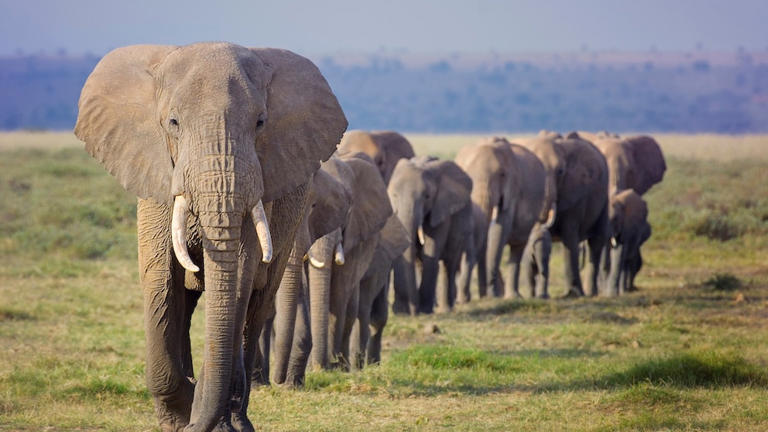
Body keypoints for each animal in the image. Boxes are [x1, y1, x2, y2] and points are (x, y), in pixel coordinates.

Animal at [74, 43, 347, 432]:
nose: (195, 424)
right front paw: (178, 417)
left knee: (256, 305)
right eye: (173, 123)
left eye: (260, 123)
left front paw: (201, 412)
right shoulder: (156, 175)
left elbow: (239, 277)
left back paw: (236, 418)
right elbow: (159, 278)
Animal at [306, 153, 393, 370]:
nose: (320, 366)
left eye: (348, 208)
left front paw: (329, 367)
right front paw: (315, 367)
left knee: (351, 307)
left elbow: (339, 293)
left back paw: (344, 365)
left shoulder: (356, 235)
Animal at [389, 156, 473, 315]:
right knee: (421, 263)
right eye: (394, 196)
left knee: (449, 263)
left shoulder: (441, 209)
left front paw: (424, 310)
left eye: (427, 197)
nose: (412, 312)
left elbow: (430, 249)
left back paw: (446, 308)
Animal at [454, 137, 549, 301]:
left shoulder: (513, 189)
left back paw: (512, 296)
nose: (462, 299)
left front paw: (492, 295)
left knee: (517, 248)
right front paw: (485, 297)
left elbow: (501, 226)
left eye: (502, 175)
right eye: (466, 175)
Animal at [519, 131, 609, 297]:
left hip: (604, 196)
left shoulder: (576, 192)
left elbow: (570, 236)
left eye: (560, 171)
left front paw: (572, 294)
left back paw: (590, 293)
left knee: (597, 241)